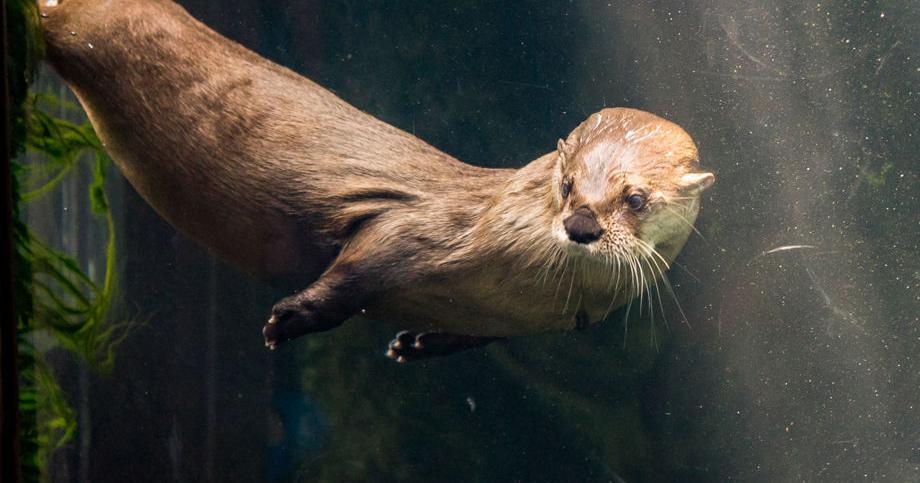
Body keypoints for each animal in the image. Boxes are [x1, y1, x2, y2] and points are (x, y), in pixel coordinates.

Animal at [39, 0, 714, 362]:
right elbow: (356, 272)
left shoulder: (518, 321)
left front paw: (411, 344)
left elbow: (465, 336)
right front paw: (288, 319)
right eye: (569, 184)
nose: (579, 226)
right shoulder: (413, 229)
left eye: (634, 198)